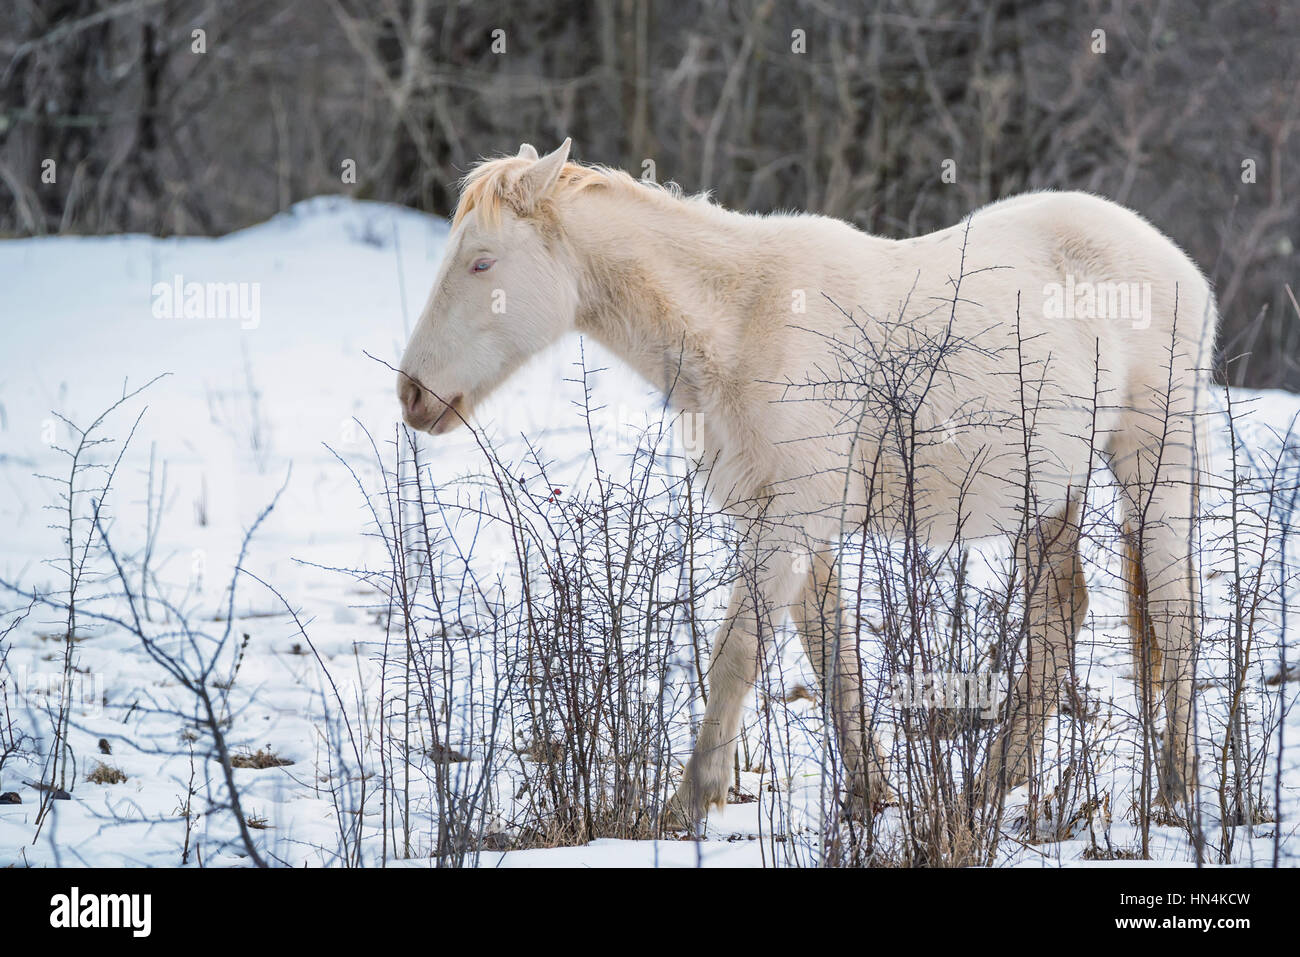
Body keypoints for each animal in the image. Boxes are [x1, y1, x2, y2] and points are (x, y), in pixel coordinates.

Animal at [396, 139, 1217, 829]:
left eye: (482, 263)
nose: (411, 394)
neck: (742, 320)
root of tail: (1180, 264)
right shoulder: (799, 527)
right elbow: (832, 657)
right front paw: (870, 797)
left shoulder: (789, 521)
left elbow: (736, 654)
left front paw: (686, 806)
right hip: (1050, 493)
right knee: (1056, 616)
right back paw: (990, 787)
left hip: (1155, 462)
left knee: (1174, 616)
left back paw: (1174, 794)